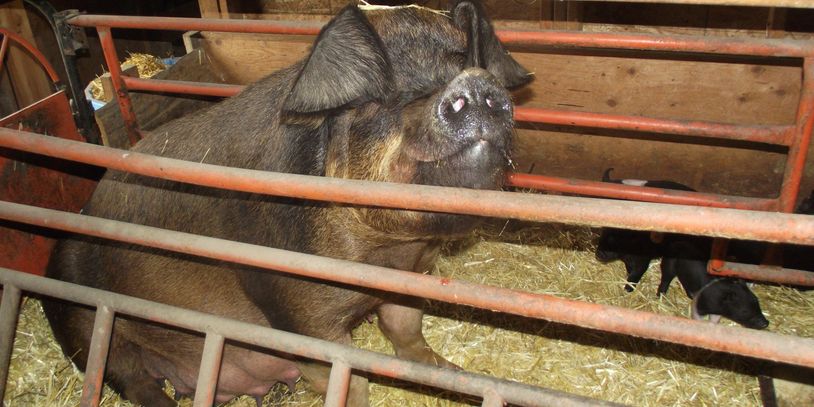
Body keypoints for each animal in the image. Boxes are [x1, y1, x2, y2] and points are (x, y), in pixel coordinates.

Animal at [42, 2, 532, 406]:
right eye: (376, 98)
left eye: (464, 64)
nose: (475, 84)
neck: (387, 255)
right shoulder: (291, 306)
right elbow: (350, 381)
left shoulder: (411, 278)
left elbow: (407, 332)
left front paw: (450, 371)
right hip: (83, 321)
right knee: (130, 379)